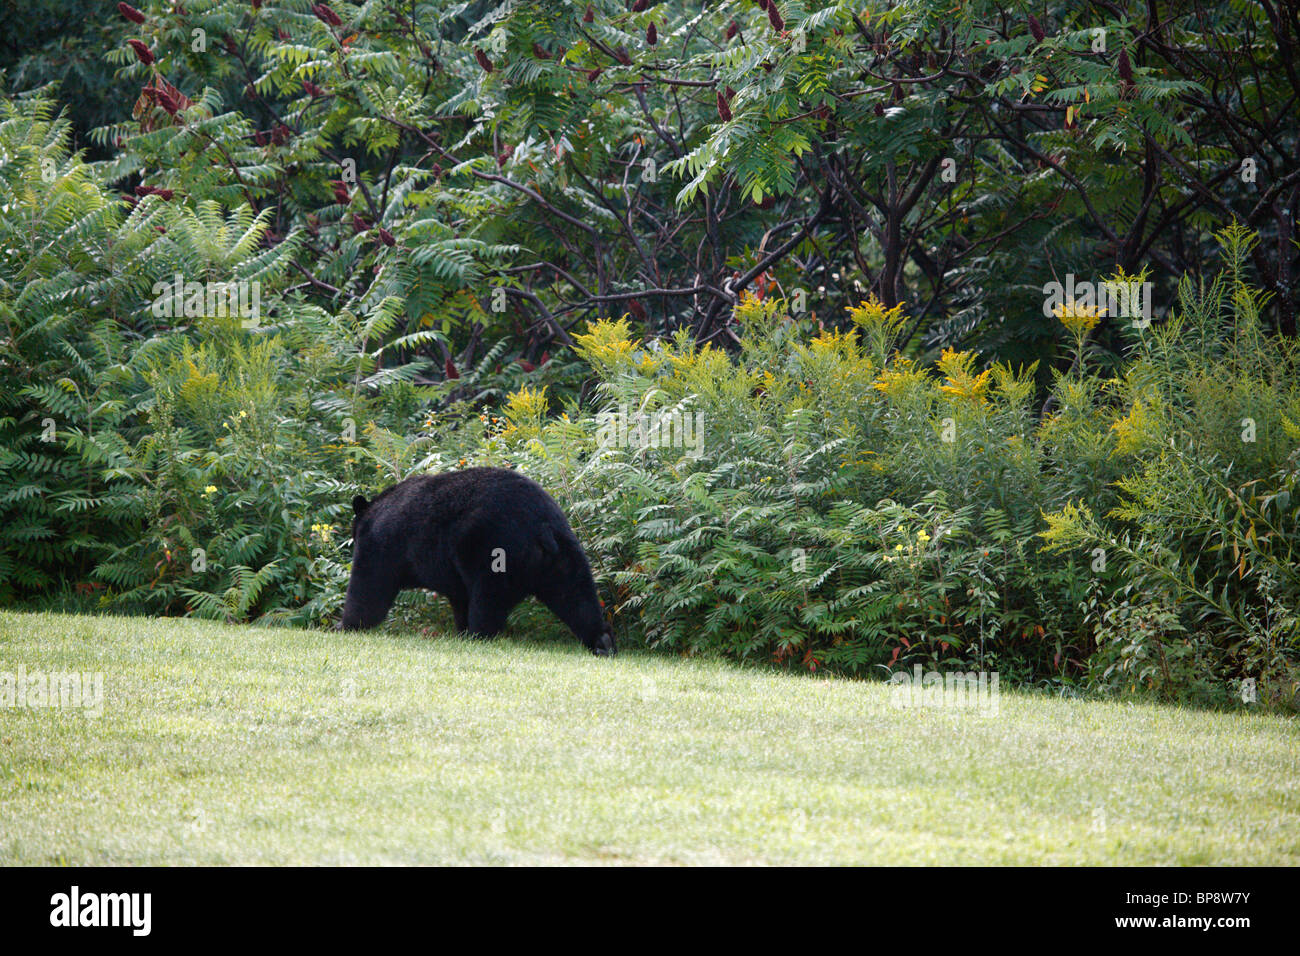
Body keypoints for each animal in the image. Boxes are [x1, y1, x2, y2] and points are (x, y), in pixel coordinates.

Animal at [338, 466, 616, 655]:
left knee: (487, 600)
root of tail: (540, 527)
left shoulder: (381, 542)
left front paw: (345, 624)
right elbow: (459, 598)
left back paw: (478, 636)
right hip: (564, 551)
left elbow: (369, 585)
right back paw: (601, 642)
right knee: (576, 593)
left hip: (492, 550)